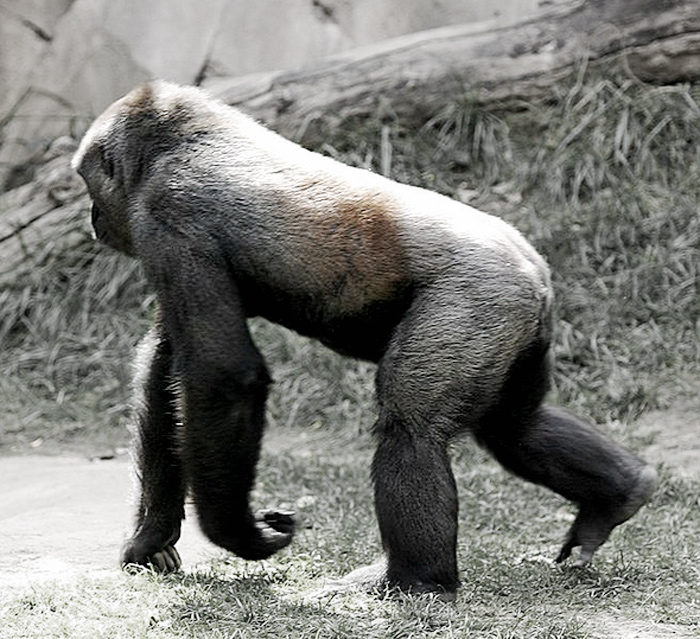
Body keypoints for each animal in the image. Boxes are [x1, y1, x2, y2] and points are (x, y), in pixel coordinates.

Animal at [72, 80, 656, 599]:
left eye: (88, 184)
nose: (93, 218)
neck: (178, 142)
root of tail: (532, 267)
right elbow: (166, 371)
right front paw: (151, 539)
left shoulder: (170, 218)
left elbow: (221, 376)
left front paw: (238, 535)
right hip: (520, 321)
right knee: (514, 426)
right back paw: (615, 498)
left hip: (481, 295)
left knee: (412, 432)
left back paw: (417, 580)